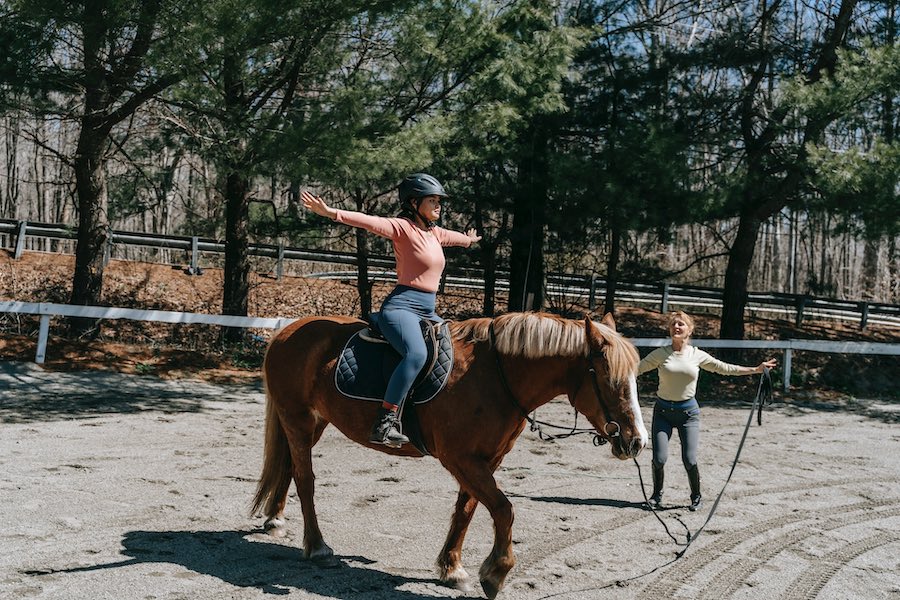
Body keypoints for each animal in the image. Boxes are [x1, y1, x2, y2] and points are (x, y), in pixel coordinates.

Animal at [251, 311, 647, 599]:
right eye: (610, 379)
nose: (637, 441)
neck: (496, 376)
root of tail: (287, 332)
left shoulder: (485, 460)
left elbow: (467, 509)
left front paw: (451, 567)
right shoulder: (460, 459)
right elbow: (503, 508)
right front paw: (495, 572)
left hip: (312, 423)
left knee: (289, 468)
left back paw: (275, 518)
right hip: (298, 419)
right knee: (305, 479)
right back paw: (317, 547)